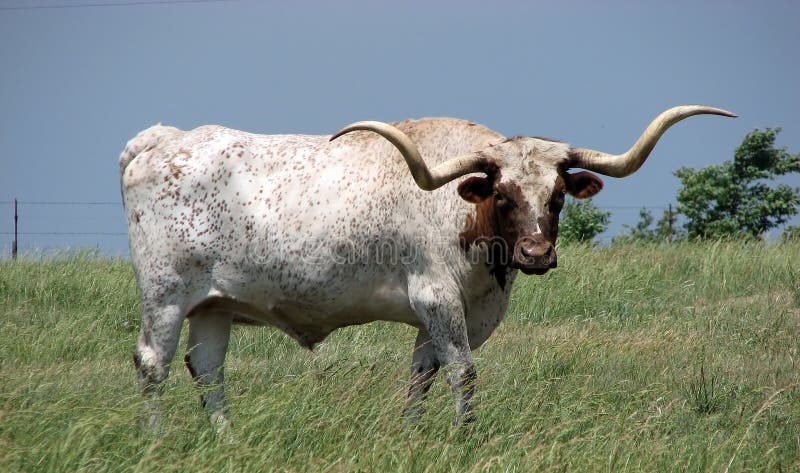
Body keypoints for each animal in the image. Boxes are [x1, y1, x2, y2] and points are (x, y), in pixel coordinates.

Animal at [120, 105, 734, 428]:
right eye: (502, 195)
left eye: (558, 196)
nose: (537, 255)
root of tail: (161, 139)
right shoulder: (437, 298)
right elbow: (463, 370)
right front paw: (464, 436)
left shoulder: (448, 314)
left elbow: (423, 374)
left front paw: (411, 434)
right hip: (165, 294)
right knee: (153, 364)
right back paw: (156, 438)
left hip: (215, 304)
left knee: (208, 368)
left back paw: (225, 438)